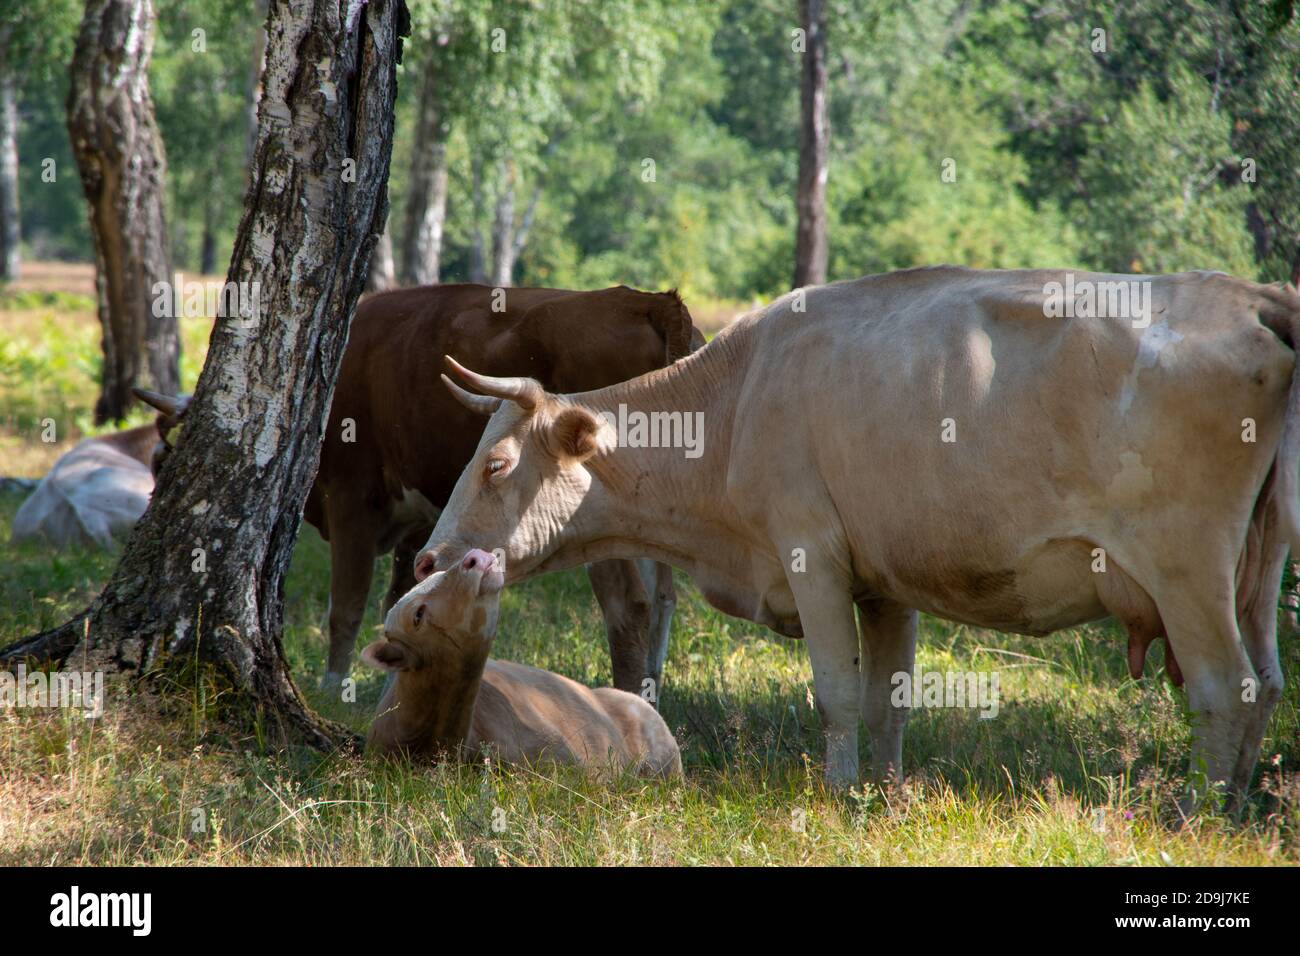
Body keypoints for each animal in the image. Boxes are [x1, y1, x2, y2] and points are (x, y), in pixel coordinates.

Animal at [141, 283, 702, 692]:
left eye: (161, 463)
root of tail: (651, 301)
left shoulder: (353, 497)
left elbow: (346, 604)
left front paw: (332, 690)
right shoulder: (418, 525)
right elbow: (403, 598)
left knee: (629, 607)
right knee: (663, 598)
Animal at [415, 266, 1300, 805]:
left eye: (496, 463)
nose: (430, 556)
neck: (736, 401)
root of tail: (1247, 294)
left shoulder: (814, 559)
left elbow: (838, 692)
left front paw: (839, 795)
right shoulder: (886, 584)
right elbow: (887, 701)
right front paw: (886, 793)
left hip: (1187, 569)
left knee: (1225, 686)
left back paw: (1197, 811)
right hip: (1257, 570)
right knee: (1266, 683)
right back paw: (1237, 806)